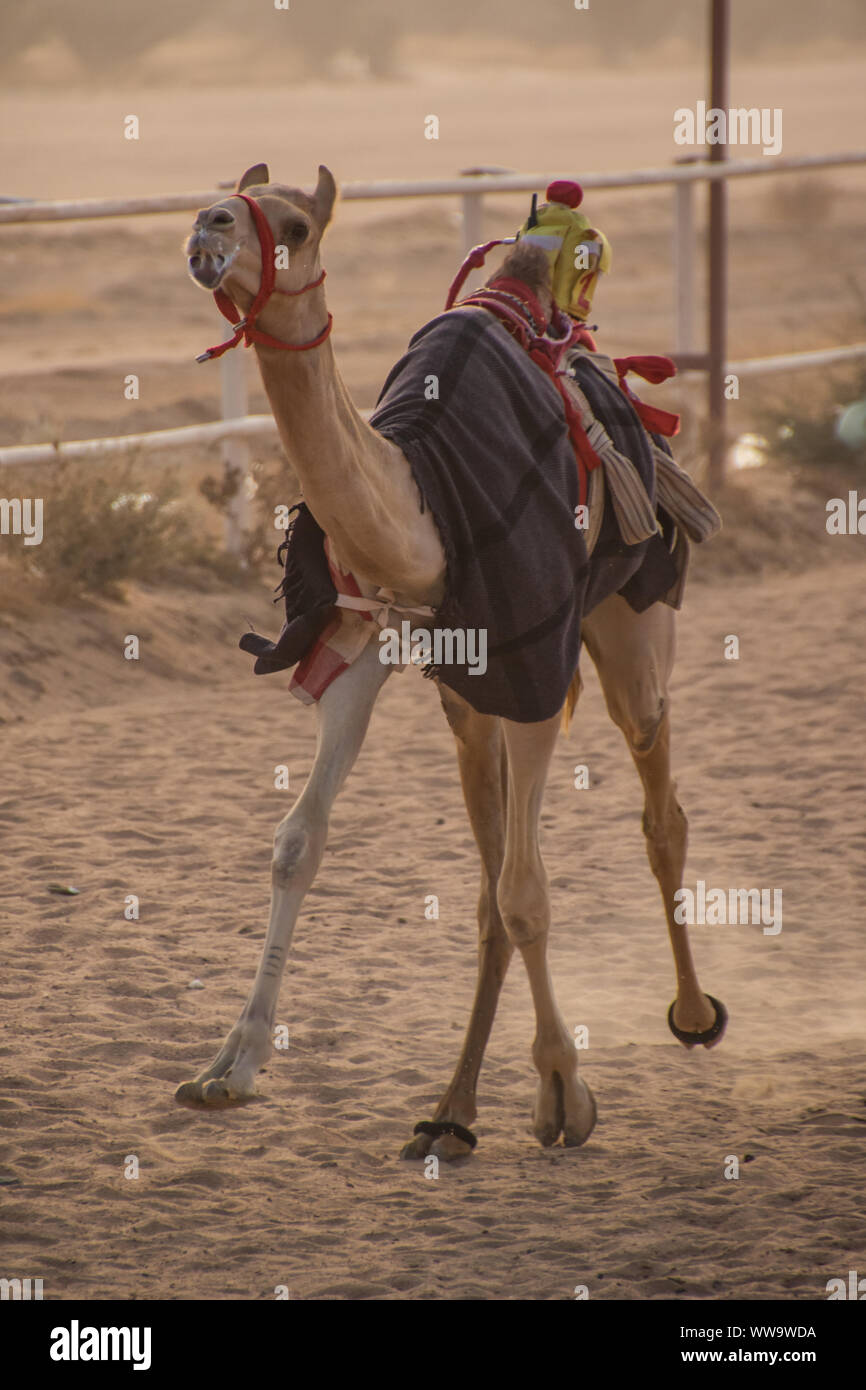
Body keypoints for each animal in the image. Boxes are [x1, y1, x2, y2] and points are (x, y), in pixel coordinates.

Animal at [176, 163, 727, 1159]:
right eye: (223, 197)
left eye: (295, 225)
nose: (209, 229)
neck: (427, 508)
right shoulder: (369, 644)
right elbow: (299, 845)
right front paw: (228, 1068)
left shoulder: (536, 671)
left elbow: (528, 891)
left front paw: (565, 1096)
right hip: (468, 705)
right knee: (486, 887)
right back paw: (452, 1111)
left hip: (633, 623)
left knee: (657, 810)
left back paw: (694, 1014)